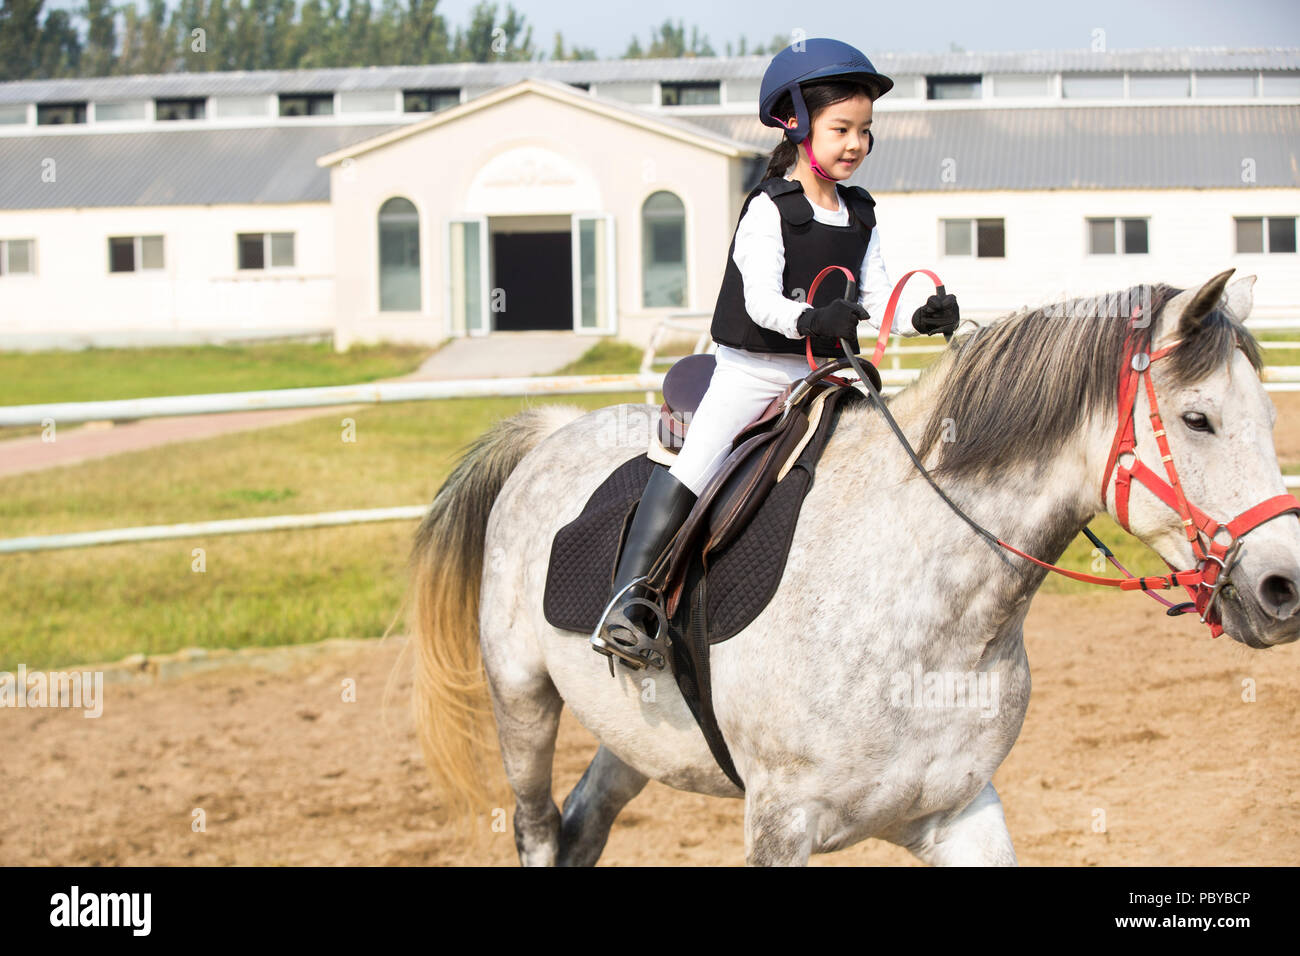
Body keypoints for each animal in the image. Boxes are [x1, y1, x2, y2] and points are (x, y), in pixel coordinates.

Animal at [407, 269, 1300, 866]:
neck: (927, 612)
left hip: (634, 738)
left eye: (1267, 414)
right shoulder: (780, 825)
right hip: (522, 703)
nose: (1282, 588)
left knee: (585, 824)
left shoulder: (960, 811)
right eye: (1198, 419)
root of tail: (552, 431)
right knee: (539, 829)